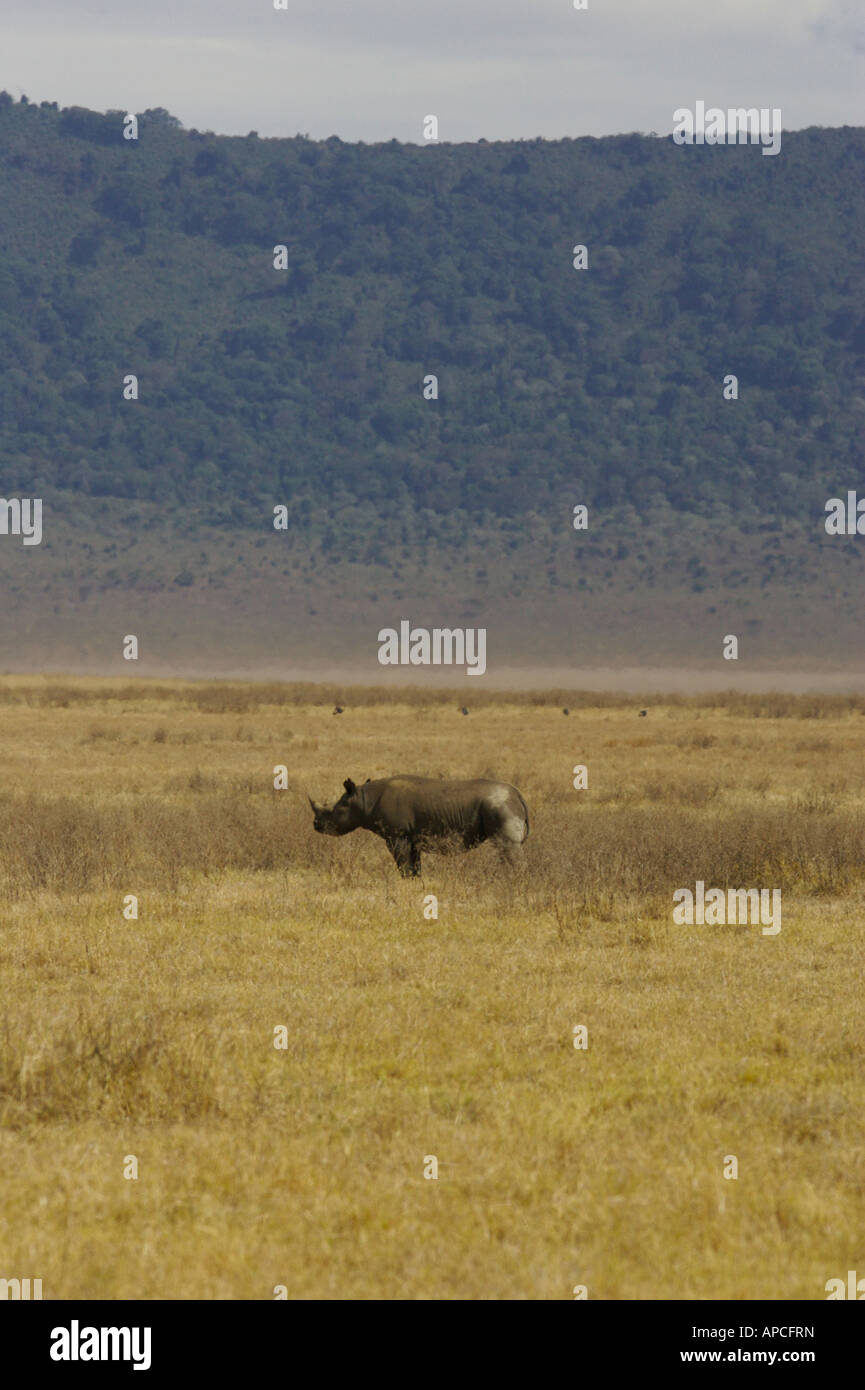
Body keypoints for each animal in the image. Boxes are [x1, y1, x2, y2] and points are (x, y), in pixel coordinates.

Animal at [308, 774, 529, 877]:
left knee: (507, 848)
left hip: (499, 805)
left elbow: (403, 865)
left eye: (333, 812)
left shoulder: (397, 836)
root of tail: (518, 794)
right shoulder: (412, 838)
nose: (316, 825)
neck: (363, 800)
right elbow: (415, 867)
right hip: (500, 804)